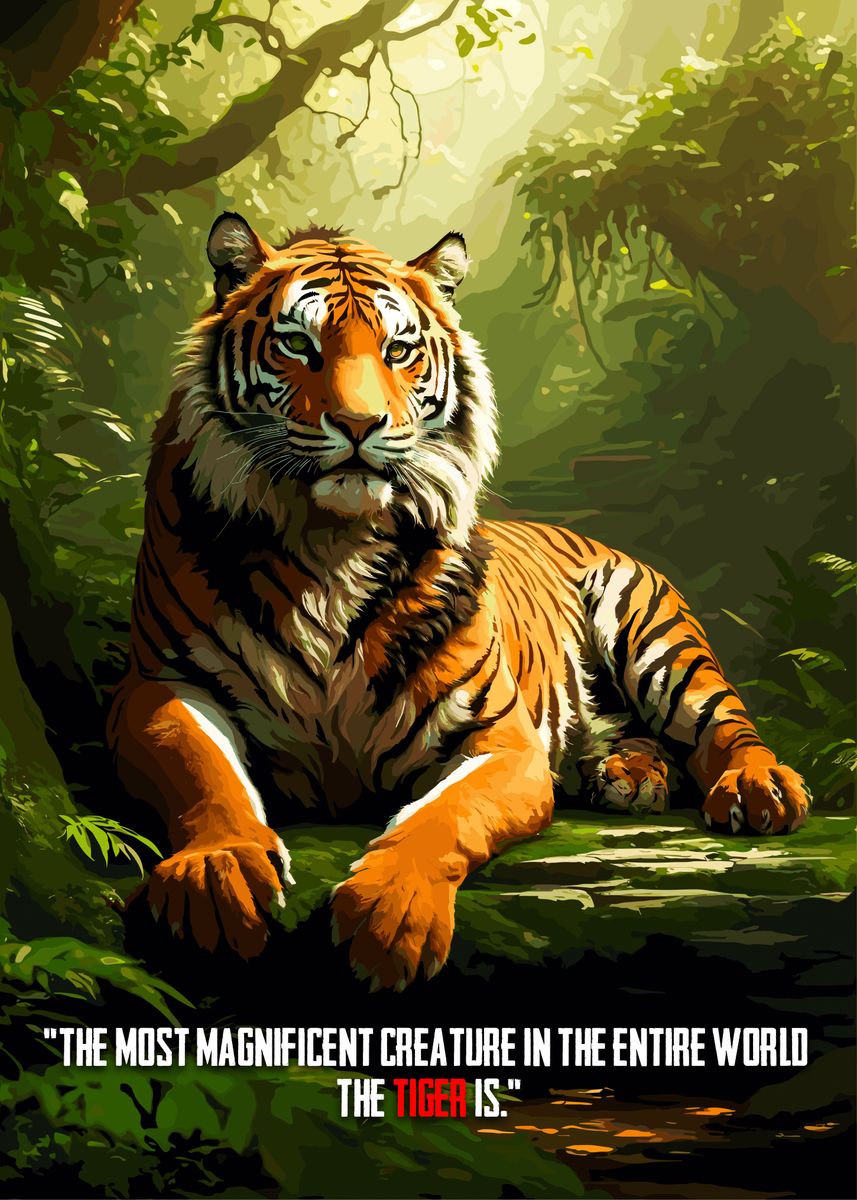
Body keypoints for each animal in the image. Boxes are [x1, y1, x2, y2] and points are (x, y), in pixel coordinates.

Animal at [108, 212, 811, 991]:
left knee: (726, 723)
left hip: (655, 636)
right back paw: (626, 775)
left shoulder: (504, 742)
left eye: (399, 349)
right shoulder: (160, 688)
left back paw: (757, 790)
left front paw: (391, 917)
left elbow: (441, 817)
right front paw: (214, 878)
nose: (359, 425)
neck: (332, 544)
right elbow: (207, 777)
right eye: (297, 344)